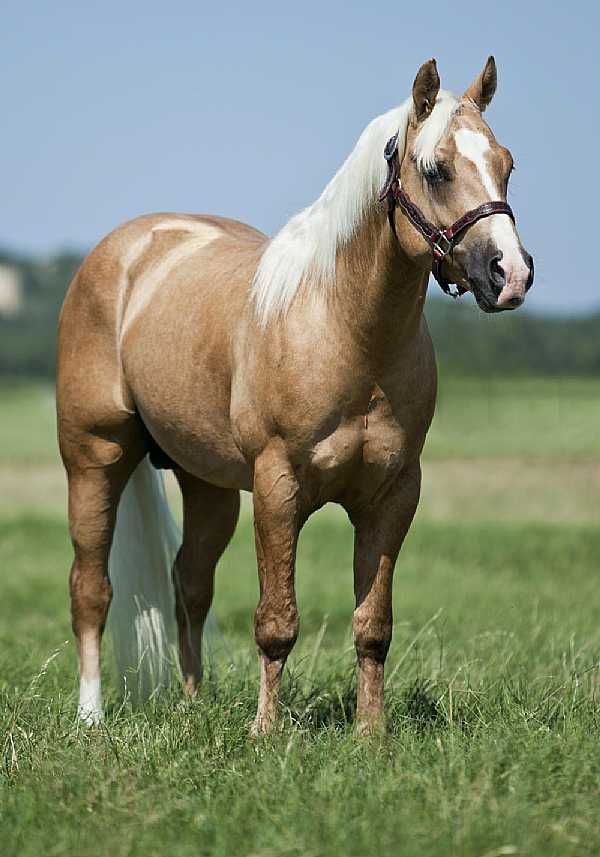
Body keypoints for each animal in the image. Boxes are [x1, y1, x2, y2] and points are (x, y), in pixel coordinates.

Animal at [57, 57, 534, 735]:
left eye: (506, 164)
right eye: (436, 168)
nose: (510, 274)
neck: (342, 329)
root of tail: (125, 249)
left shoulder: (393, 495)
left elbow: (373, 626)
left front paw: (371, 736)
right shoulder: (278, 489)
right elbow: (277, 621)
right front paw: (265, 732)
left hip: (208, 485)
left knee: (189, 585)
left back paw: (192, 704)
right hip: (94, 458)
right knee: (90, 588)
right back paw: (91, 718)